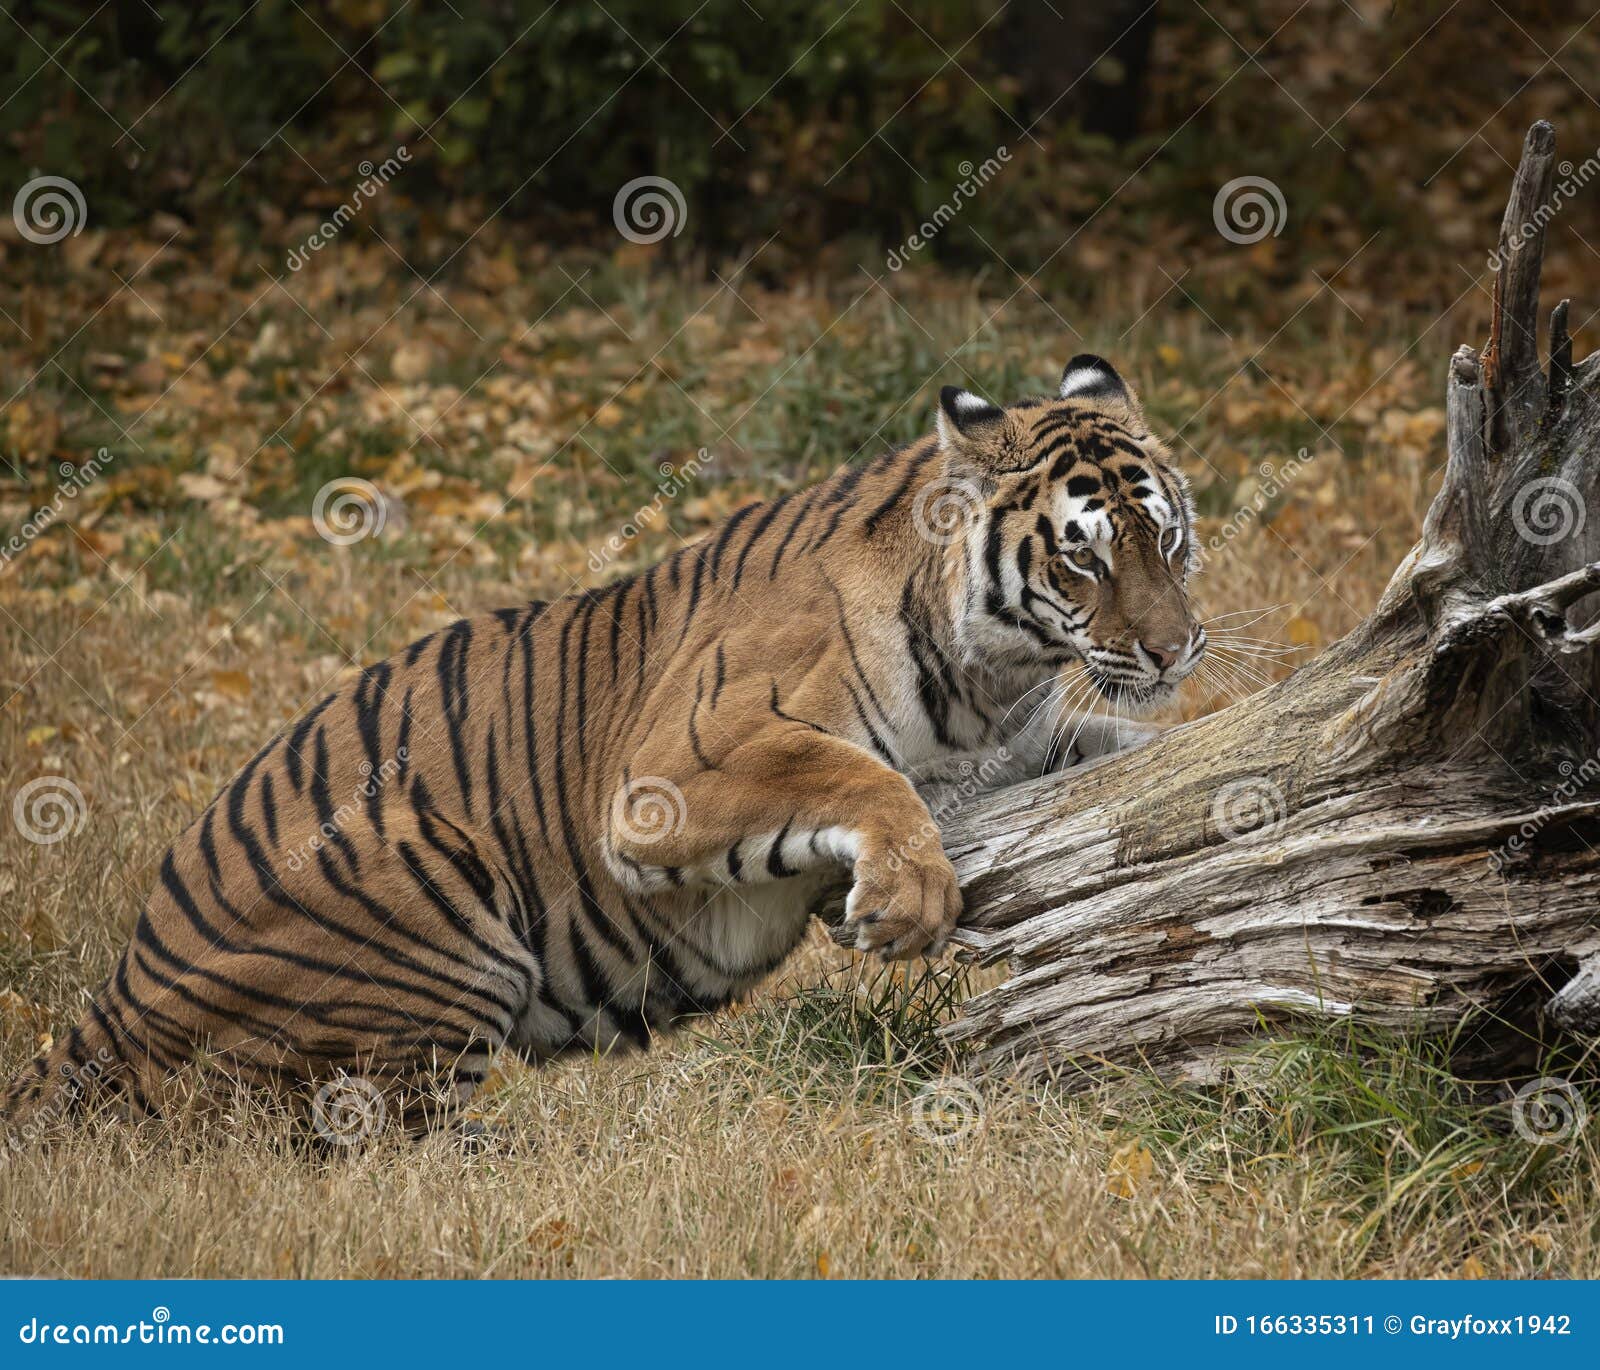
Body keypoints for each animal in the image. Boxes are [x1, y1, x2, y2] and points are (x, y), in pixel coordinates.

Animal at [2, 354, 1202, 1139]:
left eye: (1168, 535)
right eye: (1083, 556)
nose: (1178, 644)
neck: (994, 679)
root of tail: (115, 995)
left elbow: (1122, 740)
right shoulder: (677, 769)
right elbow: (859, 773)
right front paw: (908, 900)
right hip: (431, 890)